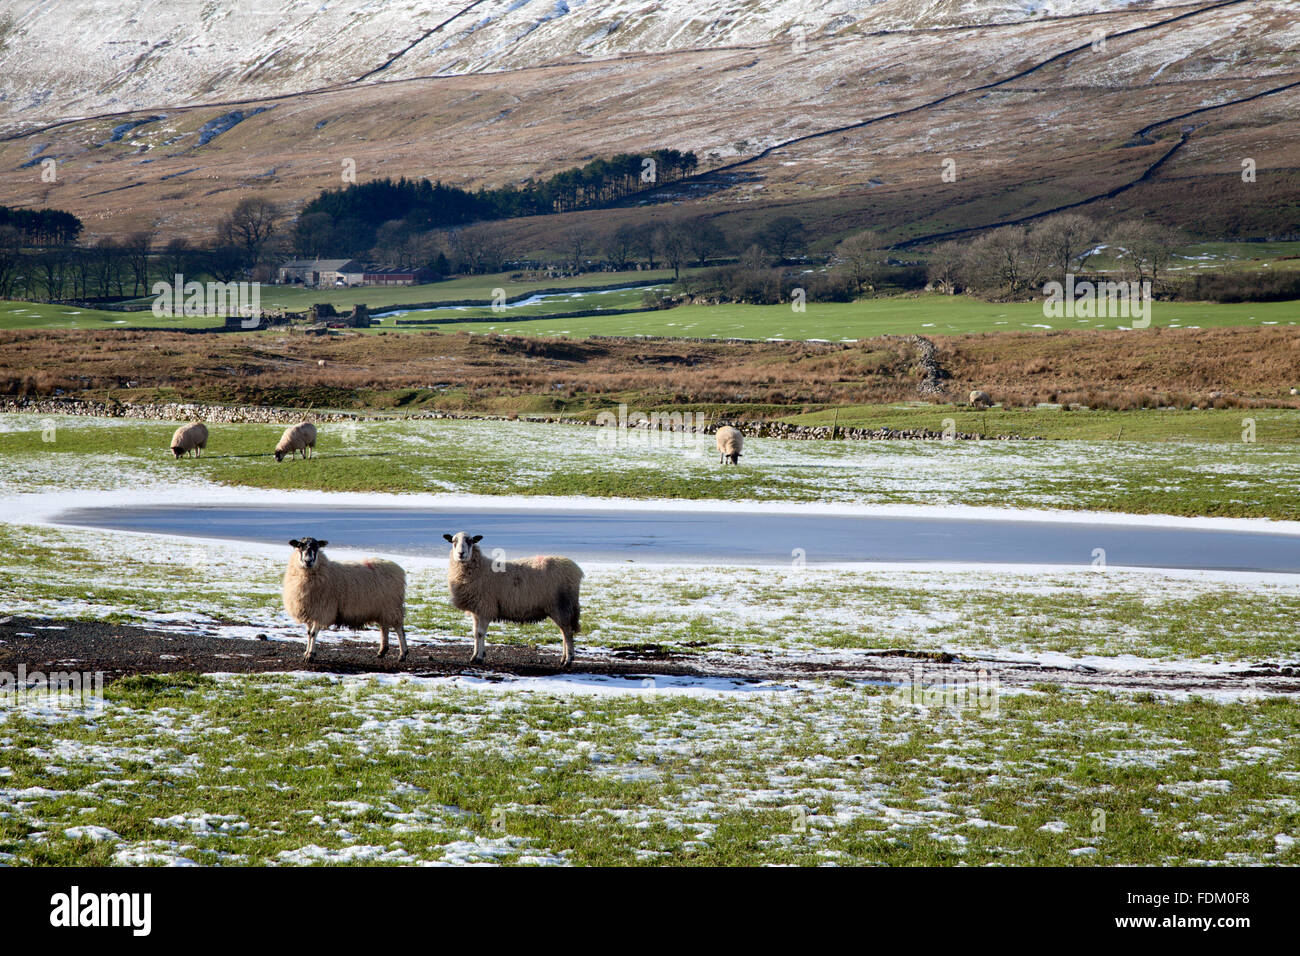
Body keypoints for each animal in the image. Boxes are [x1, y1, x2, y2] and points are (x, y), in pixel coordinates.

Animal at [443, 531, 583, 669]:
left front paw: (479, 658)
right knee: (564, 631)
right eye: (453, 541)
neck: (480, 569)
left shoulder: (486, 608)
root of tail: (576, 570)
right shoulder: (476, 611)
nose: (461, 553)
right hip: (560, 608)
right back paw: (563, 659)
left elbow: (480, 633)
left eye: (470, 541)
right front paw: (474, 656)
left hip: (561, 605)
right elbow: (475, 633)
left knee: (567, 632)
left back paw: (568, 660)